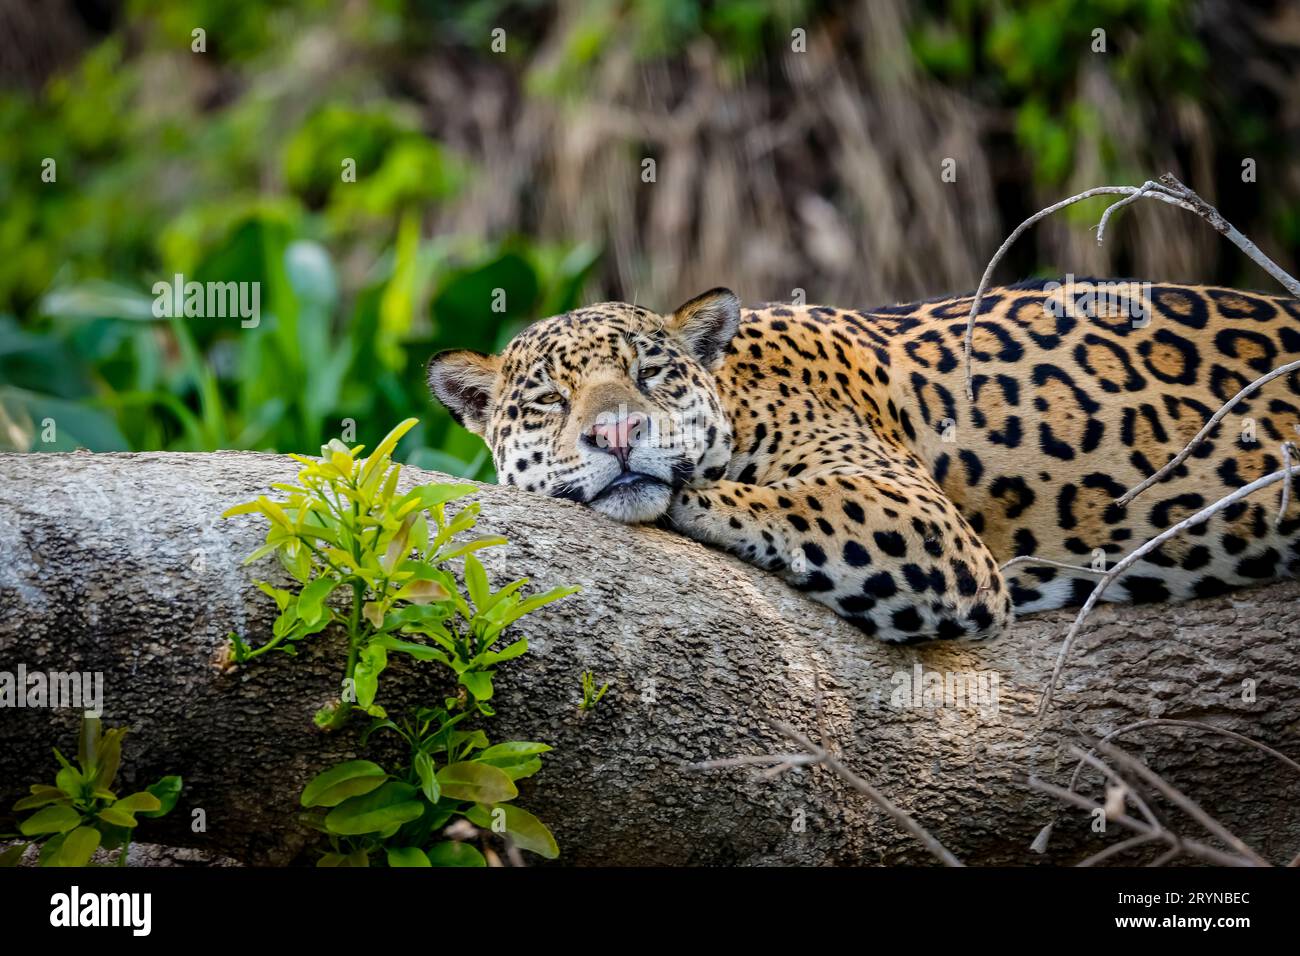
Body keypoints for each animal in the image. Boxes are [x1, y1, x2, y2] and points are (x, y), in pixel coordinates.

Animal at [427, 280, 1300, 644]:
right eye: (549, 400)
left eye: (651, 374)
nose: (616, 435)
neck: (741, 391)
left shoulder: (921, 518)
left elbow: (771, 500)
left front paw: (682, 490)